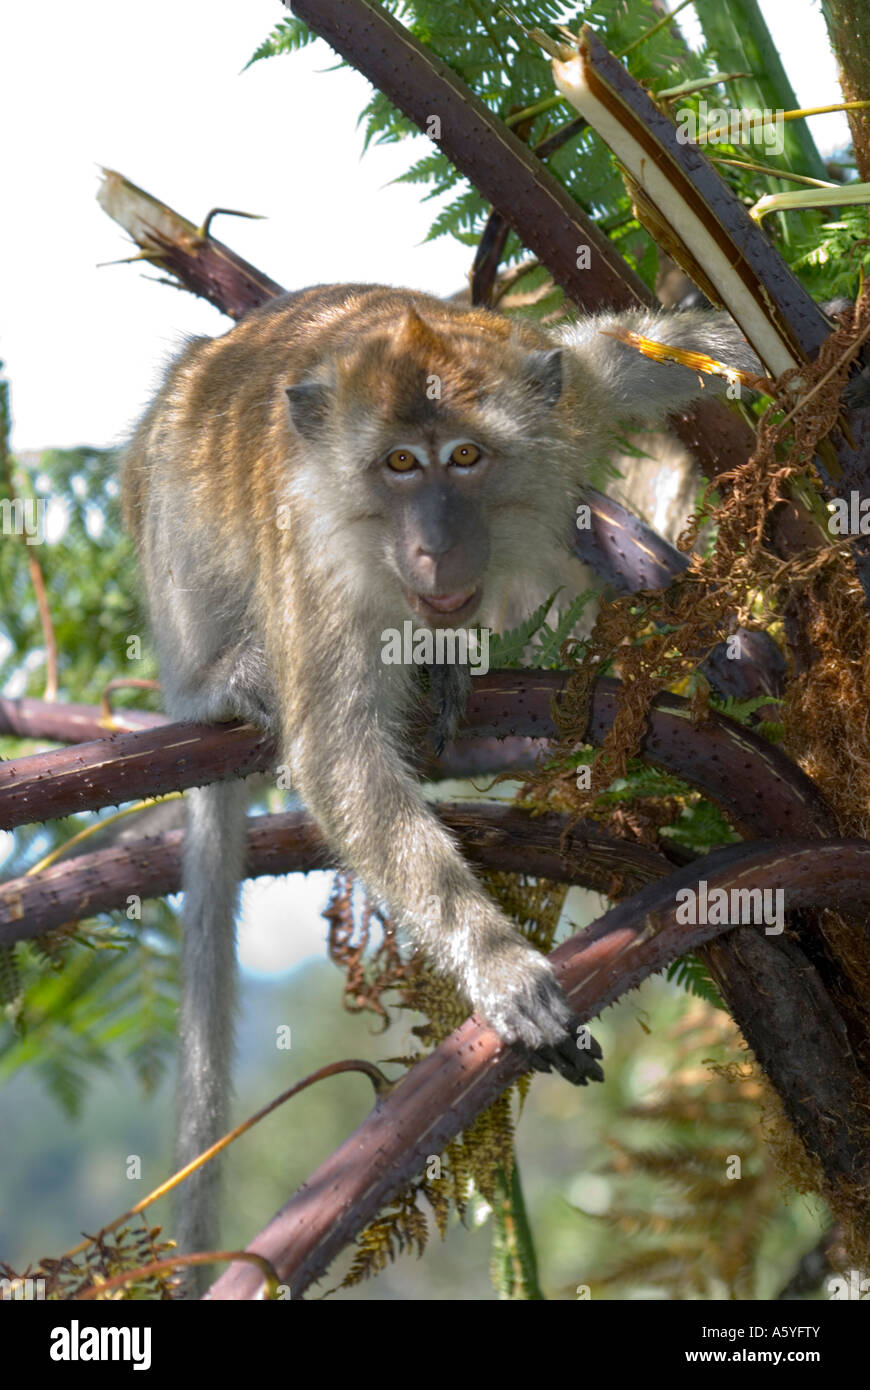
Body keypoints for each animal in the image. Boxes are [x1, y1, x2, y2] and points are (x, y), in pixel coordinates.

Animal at [121, 283, 761, 1290]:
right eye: (398, 465)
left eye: (465, 457)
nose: (433, 548)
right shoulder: (316, 556)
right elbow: (337, 754)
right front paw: (499, 966)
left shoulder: (571, 392)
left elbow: (663, 349)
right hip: (175, 559)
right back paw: (235, 678)